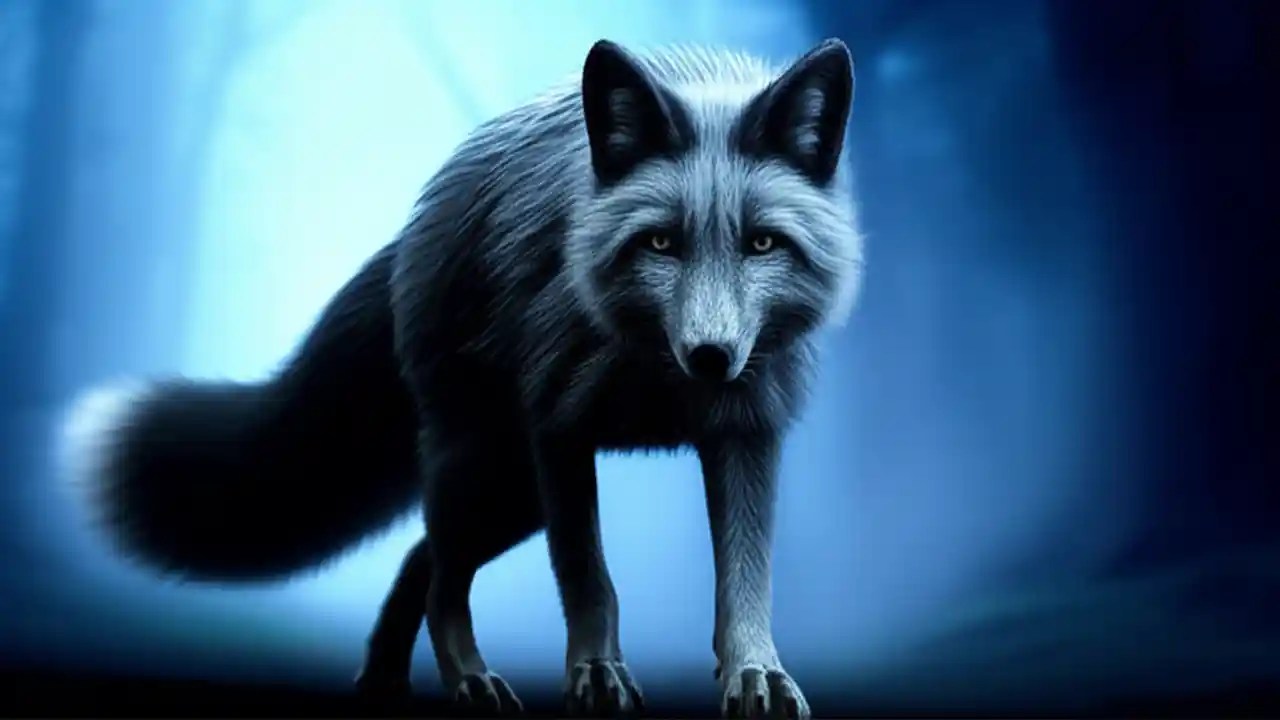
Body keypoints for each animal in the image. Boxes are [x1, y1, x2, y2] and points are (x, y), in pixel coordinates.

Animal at [63, 38, 862, 719]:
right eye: (662, 242)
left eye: (762, 244)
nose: (710, 357)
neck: (653, 375)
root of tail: (416, 226)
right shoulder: (558, 430)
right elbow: (587, 578)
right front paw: (596, 673)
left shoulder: (746, 433)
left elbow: (745, 579)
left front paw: (756, 675)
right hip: (490, 466)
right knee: (442, 570)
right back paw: (468, 680)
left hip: (510, 494)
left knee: (423, 554)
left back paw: (384, 677)